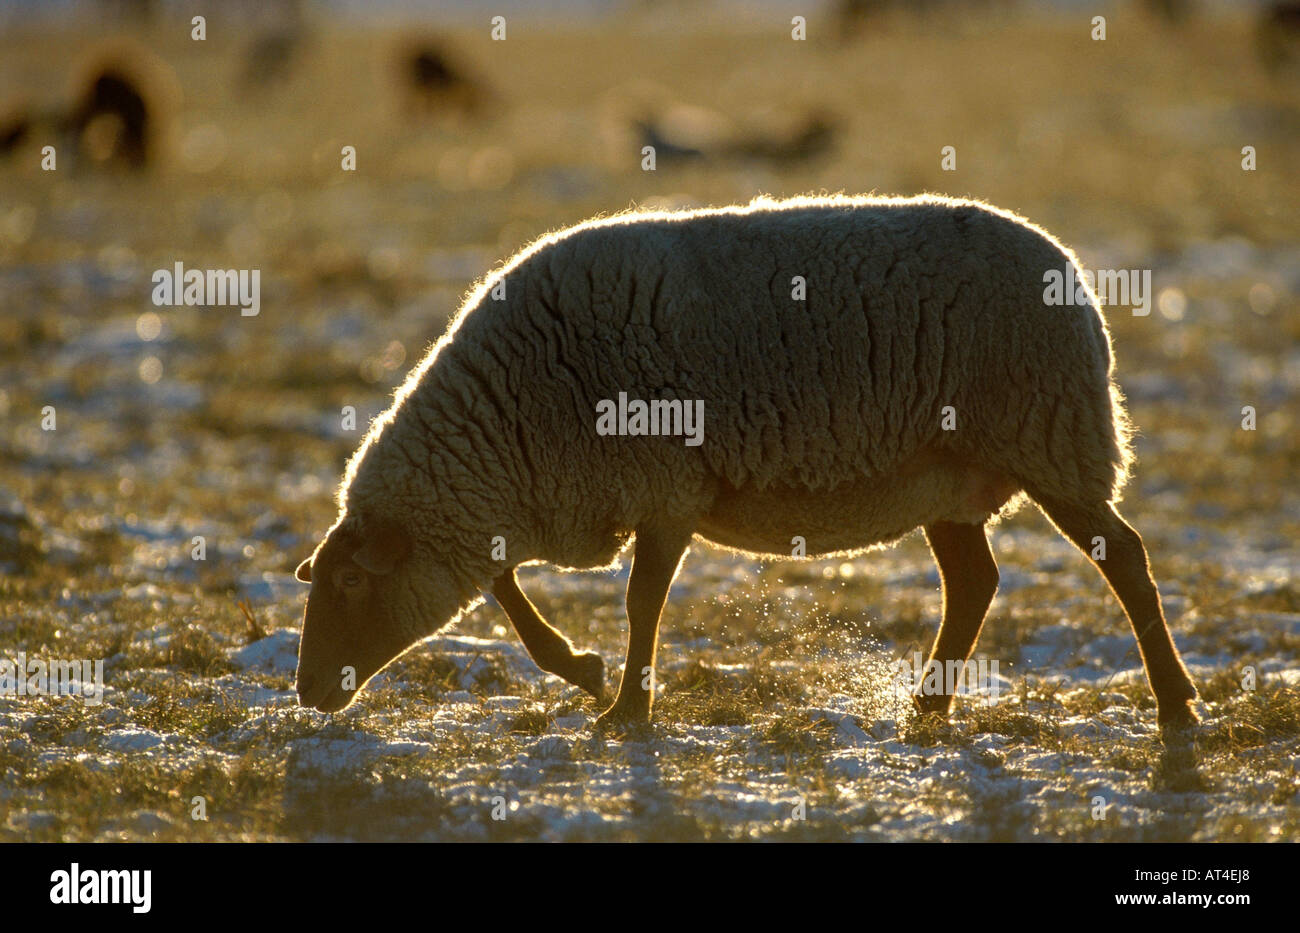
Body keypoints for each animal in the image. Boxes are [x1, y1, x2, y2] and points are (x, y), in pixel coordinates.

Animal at [293, 193, 1200, 732]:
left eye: (351, 582)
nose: (305, 692)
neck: (512, 417)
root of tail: (1075, 277)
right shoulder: (553, 500)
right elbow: (508, 588)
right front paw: (583, 672)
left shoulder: (664, 489)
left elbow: (640, 603)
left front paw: (624, 708)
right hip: (945, 476)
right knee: (974, 582)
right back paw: (927, 704)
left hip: (1053, 442)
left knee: (1126, 559)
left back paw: (1176, 703)